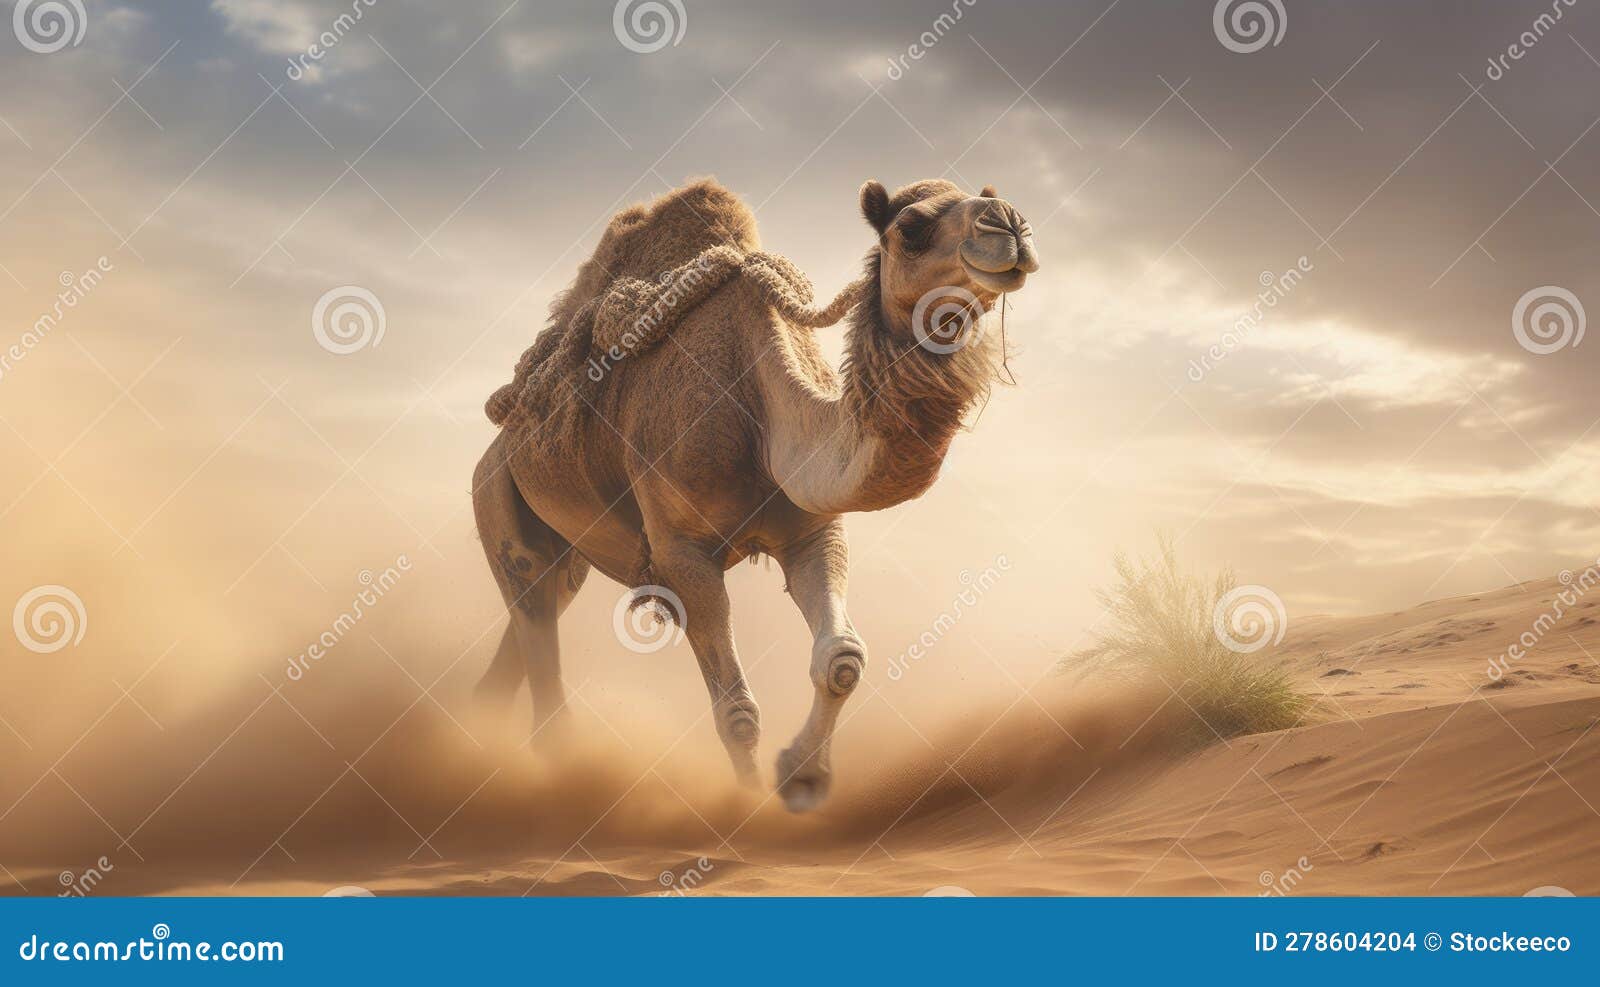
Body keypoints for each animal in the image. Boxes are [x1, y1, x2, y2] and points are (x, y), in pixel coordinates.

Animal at [472, 177, 1040, 811]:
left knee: (540, 611)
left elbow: (842, 659)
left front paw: (803, 778)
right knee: (531, 604)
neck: (760, 404)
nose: (1008, 222)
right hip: (494, 494)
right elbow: (737, 711)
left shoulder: (812, 532)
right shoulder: (680, 551)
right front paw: (745, 808)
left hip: (570, 549)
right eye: (911, 227)